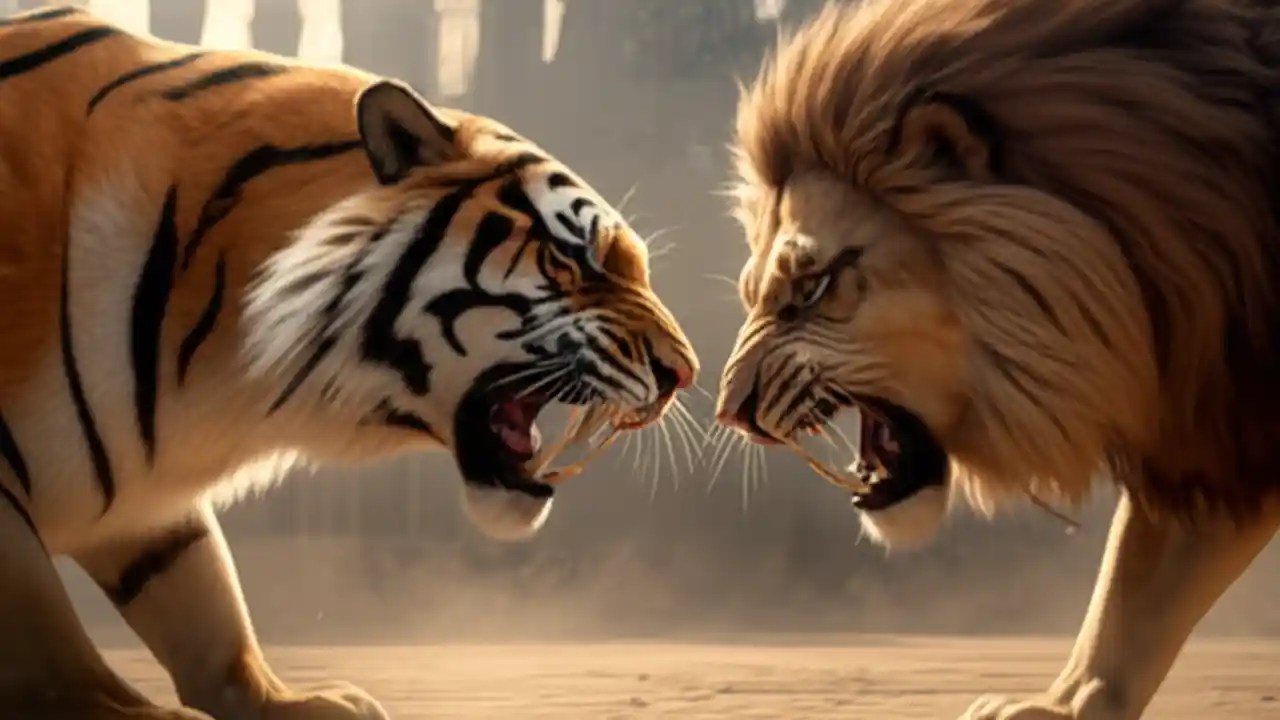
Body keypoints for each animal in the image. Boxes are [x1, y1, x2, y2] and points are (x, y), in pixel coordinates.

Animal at [0, 6, 698, 719]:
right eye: (577, 257)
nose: (685, 373)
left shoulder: (143, 487)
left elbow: (203, 598)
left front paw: (292, 702)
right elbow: (48, 637)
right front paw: (127, 713)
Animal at [715, 0, 1280, 717]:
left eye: (812, 286)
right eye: (752, 294)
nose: (729, 413)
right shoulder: (1211, 415)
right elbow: (1130, 596)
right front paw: (1059, 706)